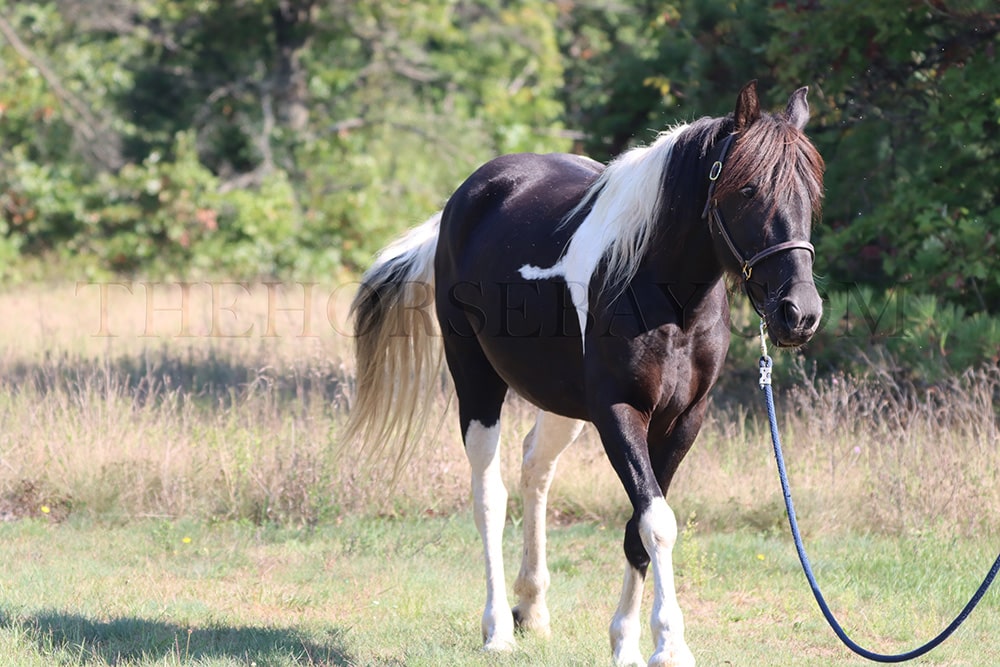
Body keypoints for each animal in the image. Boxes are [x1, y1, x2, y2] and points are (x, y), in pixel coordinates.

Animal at [345, 80, 825, 667]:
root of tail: (464, 199)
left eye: (812, 195)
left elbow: (639, 527)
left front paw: (627, 642)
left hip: (559, 400)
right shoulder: (619, 412)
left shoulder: (684, 419)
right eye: (749, 188)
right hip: (476, 380)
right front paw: (669, 645)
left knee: (535, 468)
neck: (663, 292)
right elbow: (657, 523)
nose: (799, 313)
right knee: (489, 497)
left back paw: (532, 609)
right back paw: (497, 628)